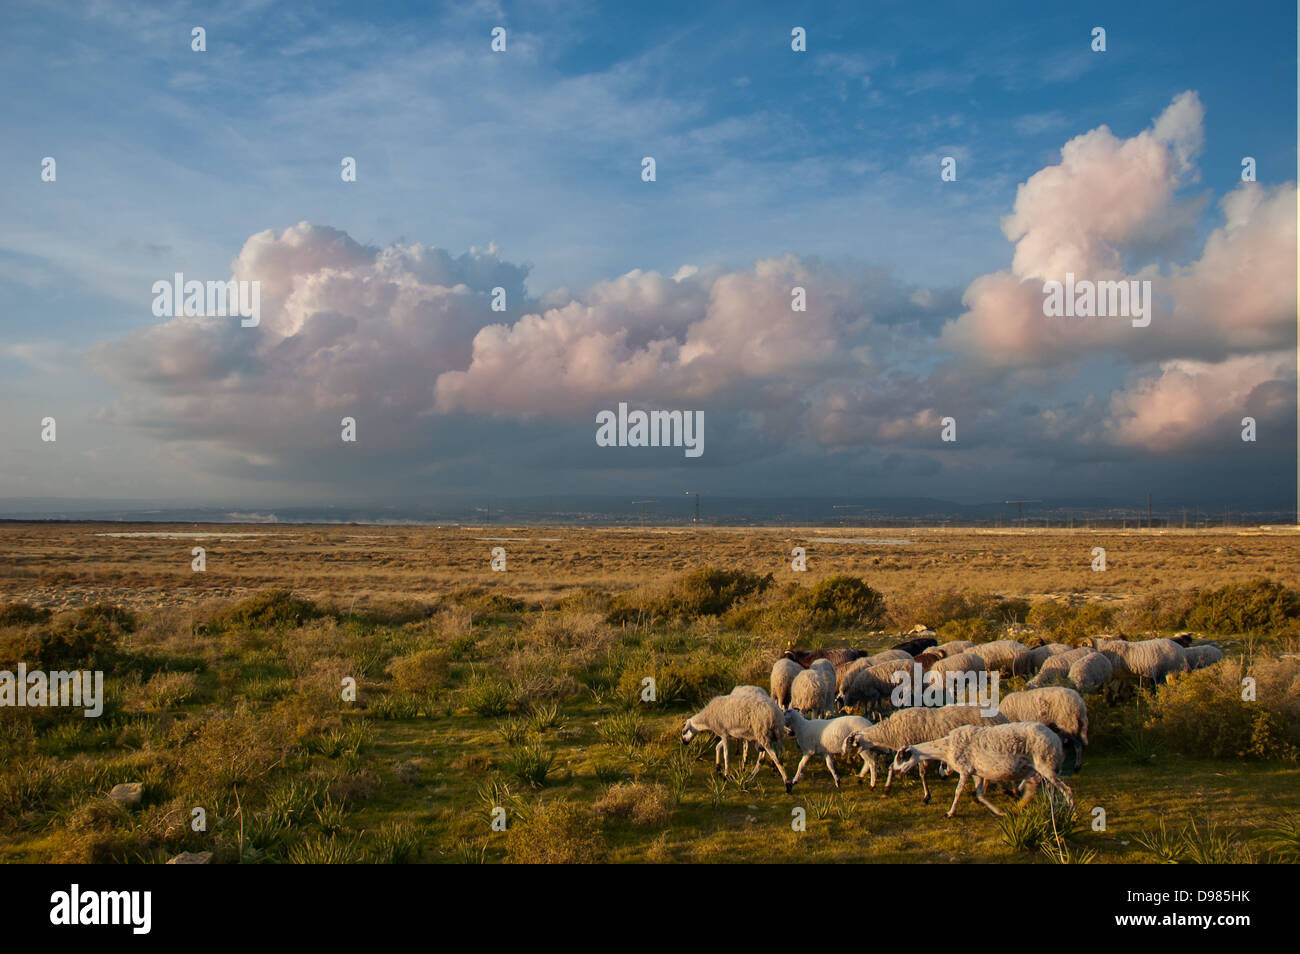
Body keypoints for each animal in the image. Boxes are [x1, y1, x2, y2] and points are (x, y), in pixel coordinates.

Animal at [841, 704, 1009, 801]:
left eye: (849, 741)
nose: (843, 754)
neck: (889, 732)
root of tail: (1002, 717)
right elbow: (893, 768)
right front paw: (887, 789)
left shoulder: (914, 751)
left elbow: (920, 773)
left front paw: (926, 795)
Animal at [891, 722, 1074, 817]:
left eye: (900, 757)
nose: (893, 768)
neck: (946, 748)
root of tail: (1056, 739)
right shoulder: (976, 773)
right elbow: (980, 794)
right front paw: (999, 812)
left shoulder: (965, 770)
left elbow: (958, 791)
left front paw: (950, 812)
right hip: (1035, 768)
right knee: (1033, 785)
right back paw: (1020, 805)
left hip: (1046, 765)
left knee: (1067, 789)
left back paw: (1072, 813)